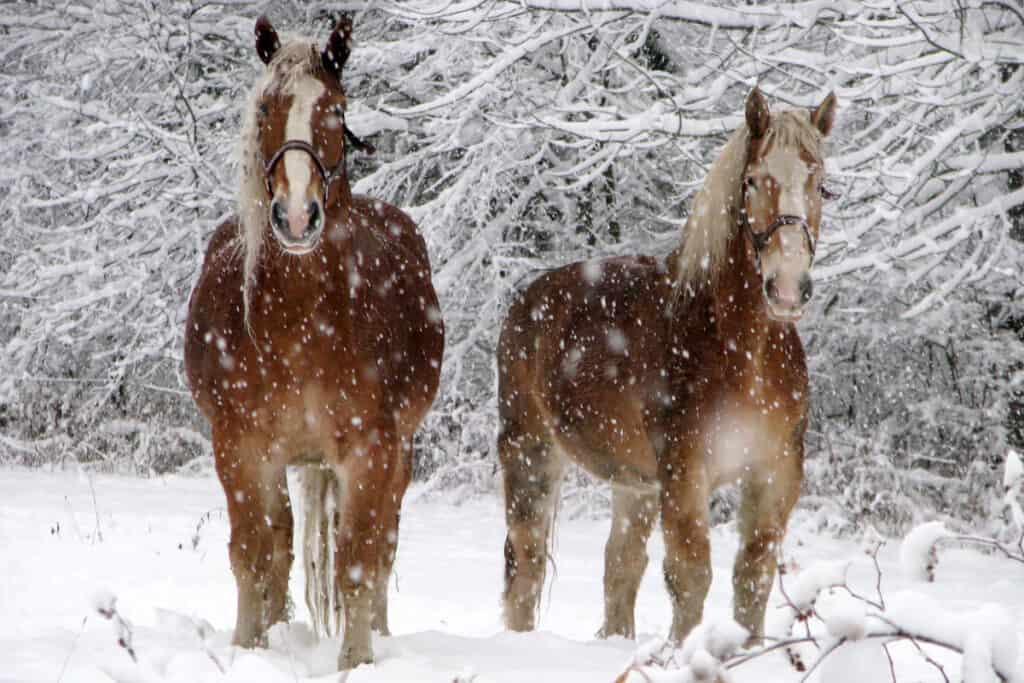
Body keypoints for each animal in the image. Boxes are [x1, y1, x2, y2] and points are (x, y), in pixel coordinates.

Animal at [184, 16, 444, 669]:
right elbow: (253, 553)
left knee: (383, 543)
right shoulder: (239, 447)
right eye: (267, 107)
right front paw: (249, 648)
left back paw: (378, 632)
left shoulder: (371, 449)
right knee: (280, 542)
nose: (297, 216)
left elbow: (358, 558)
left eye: (336, 109)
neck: (303, 326)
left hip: (398, 453)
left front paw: (358, 661)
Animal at [497, 87, 836, 644]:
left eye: (821, 184)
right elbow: (690, 574)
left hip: (633, 483)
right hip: (530, 453)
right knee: (525, 562)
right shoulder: (685, 472)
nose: (788, 288)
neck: (744, 355)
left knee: (620, 566)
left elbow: (753, 575)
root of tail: (527, 299)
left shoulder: (777, 472)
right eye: (751, 180)